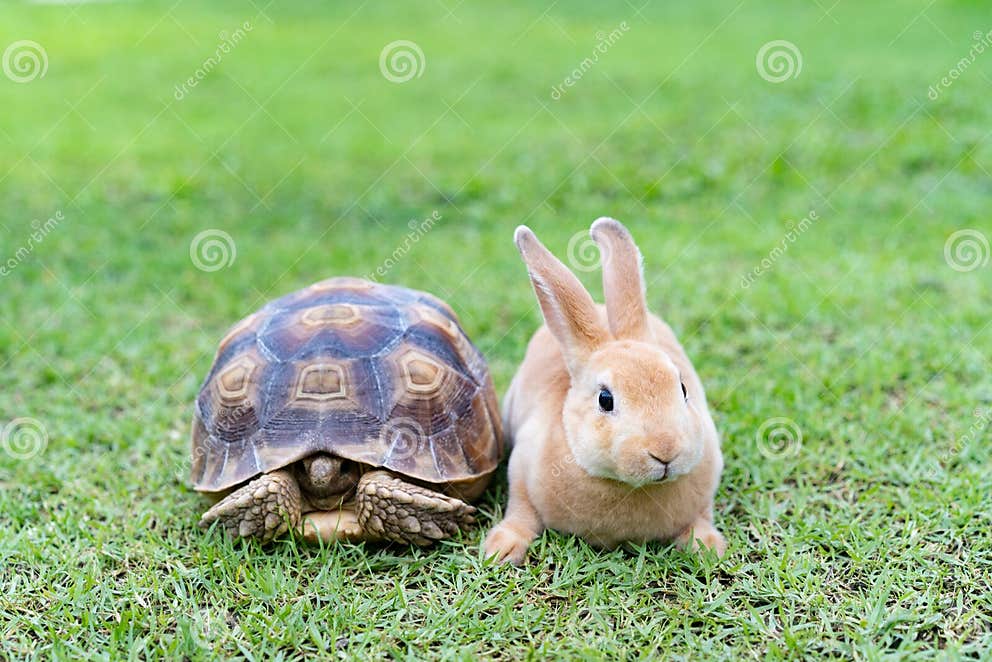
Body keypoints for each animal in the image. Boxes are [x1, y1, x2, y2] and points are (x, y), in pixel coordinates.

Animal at [483, 217, 725, 565]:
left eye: (682, 388)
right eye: (605, 399)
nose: (665, 450)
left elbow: (702, 515)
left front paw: (707, 547)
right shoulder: (521, 471)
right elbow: (520, 512)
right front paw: (500, 550)